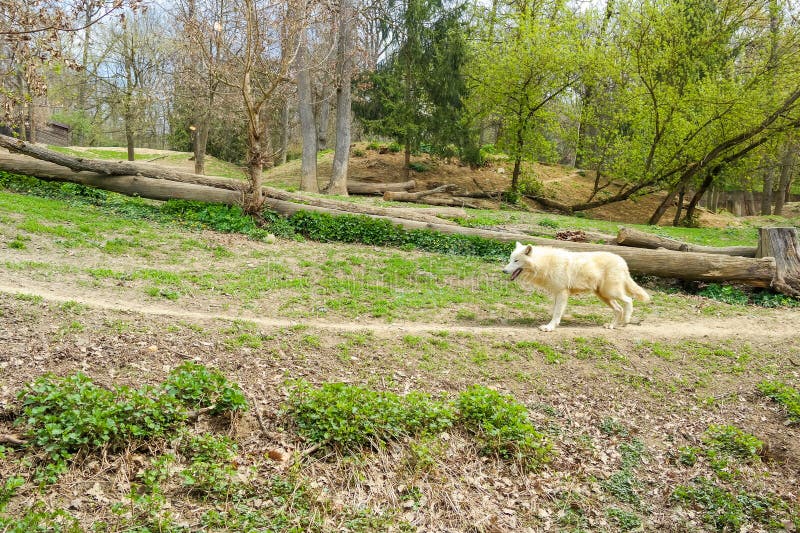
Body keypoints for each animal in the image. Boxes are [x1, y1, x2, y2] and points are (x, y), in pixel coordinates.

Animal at [502, 243, 650, 331]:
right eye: (510, 260)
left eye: (516, 261)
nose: (504, 270)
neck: (545, 263)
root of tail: (623, 261)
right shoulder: (557, 294)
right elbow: (555, 311)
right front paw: (552, 325)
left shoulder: (562, 293)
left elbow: (557, 313)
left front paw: (550, 327)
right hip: (604, 296)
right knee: (619, 309)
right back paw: (611, 326)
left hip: (611, 292)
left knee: (628, 300)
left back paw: (626, 320)